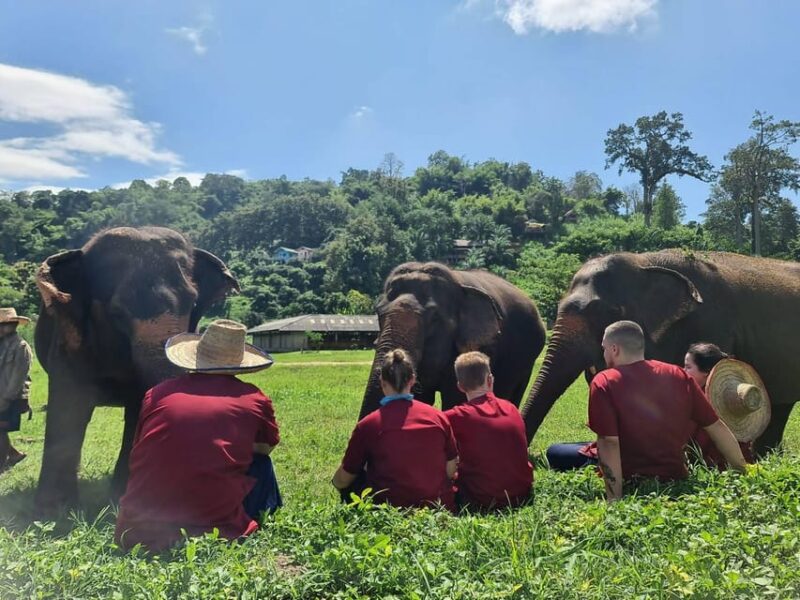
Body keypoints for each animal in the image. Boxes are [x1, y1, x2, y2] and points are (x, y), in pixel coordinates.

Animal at [33, 226, 238, 512]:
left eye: (193, 303)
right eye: (117, 313)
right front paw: (53, 512)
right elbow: (69, 406)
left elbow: (138, 407)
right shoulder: (69, 338)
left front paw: (125, 500)